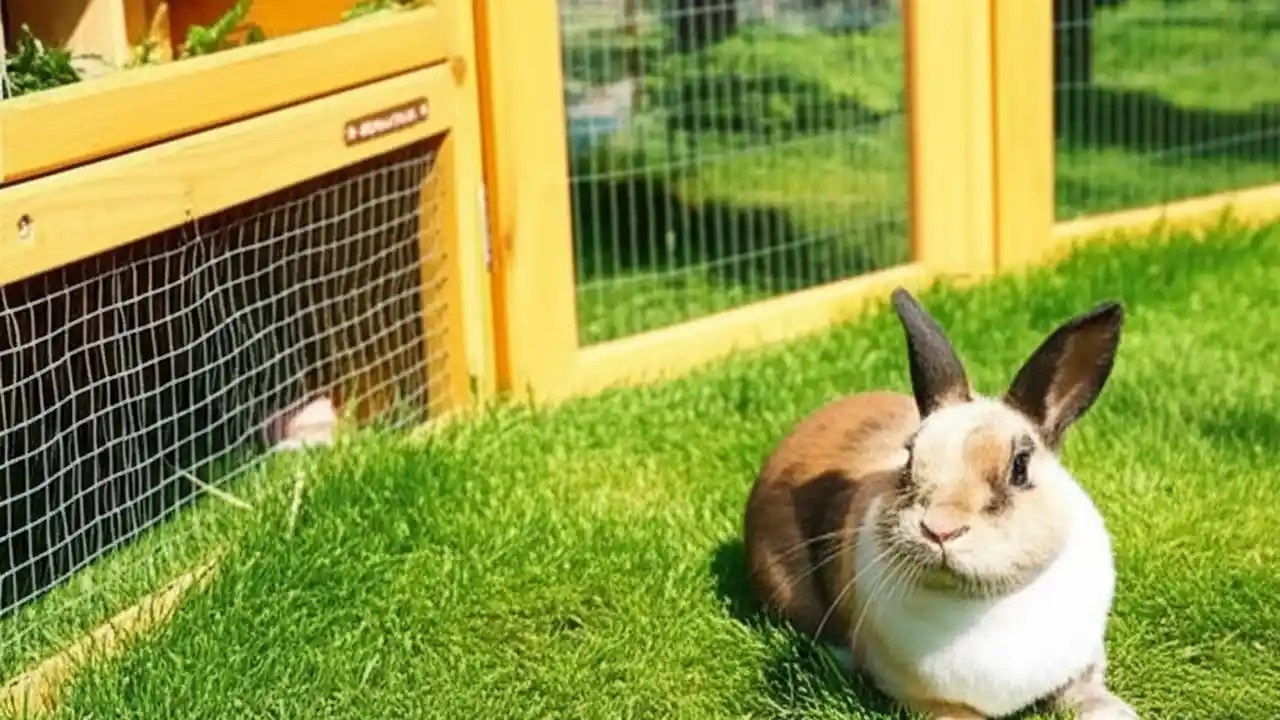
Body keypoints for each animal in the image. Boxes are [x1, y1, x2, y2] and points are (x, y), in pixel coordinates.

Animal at [743, 287, 1136, 719]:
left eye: (1019, 467)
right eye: (909, 461)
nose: (940, 530)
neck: (983, 600)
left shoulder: (1082, 663)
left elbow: (1084, 689)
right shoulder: (925, 699)